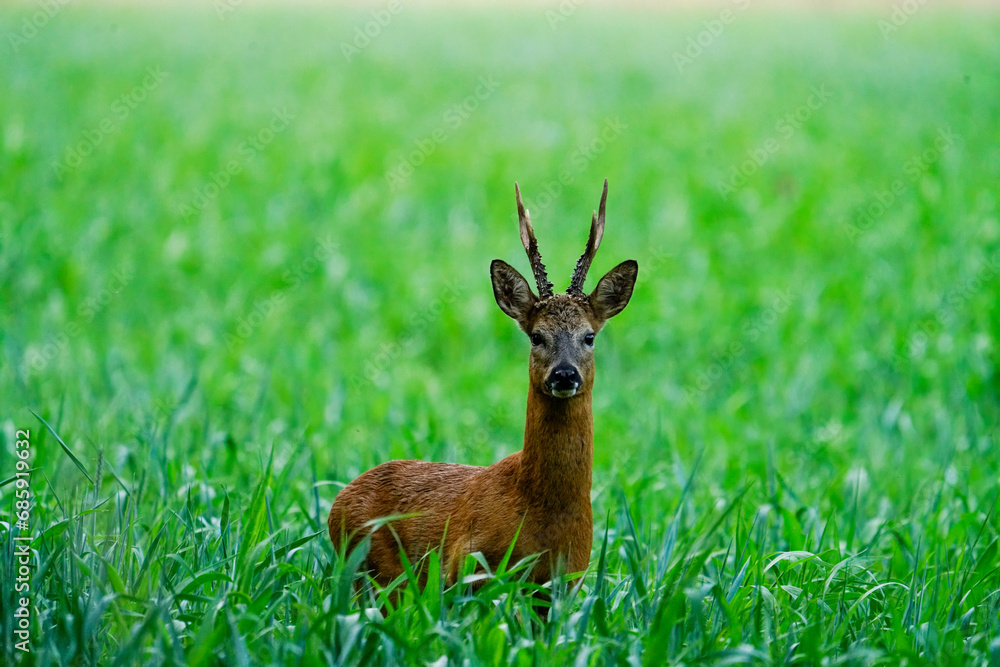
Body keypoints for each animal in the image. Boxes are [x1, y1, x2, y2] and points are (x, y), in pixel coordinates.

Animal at [328, 179, 638, 594]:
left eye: (589, 336)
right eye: (536, 336)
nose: (564, 375)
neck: (542, 512)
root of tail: (337, 501)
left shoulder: (567, 583)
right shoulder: (465, 569)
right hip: (369, 570)